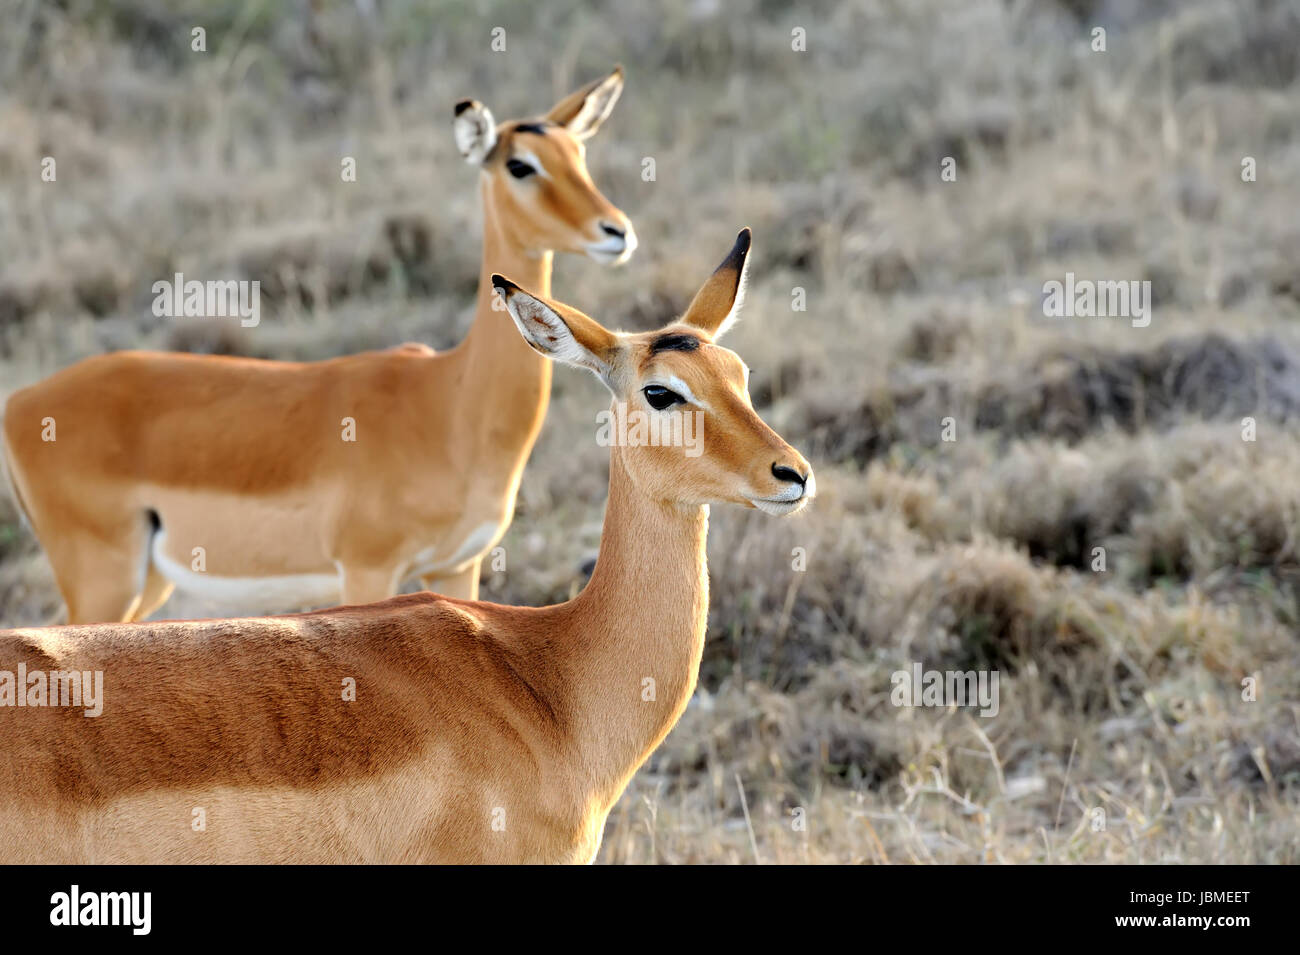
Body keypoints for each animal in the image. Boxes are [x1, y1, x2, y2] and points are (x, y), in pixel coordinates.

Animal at [0, 67, 636, 624]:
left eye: (578, 156)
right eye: (520, 165)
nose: (617, 232)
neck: (451, 401)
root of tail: (20, 403)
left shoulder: (458, 566)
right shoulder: (367, 569)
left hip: (147, 583)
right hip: (106, 579)